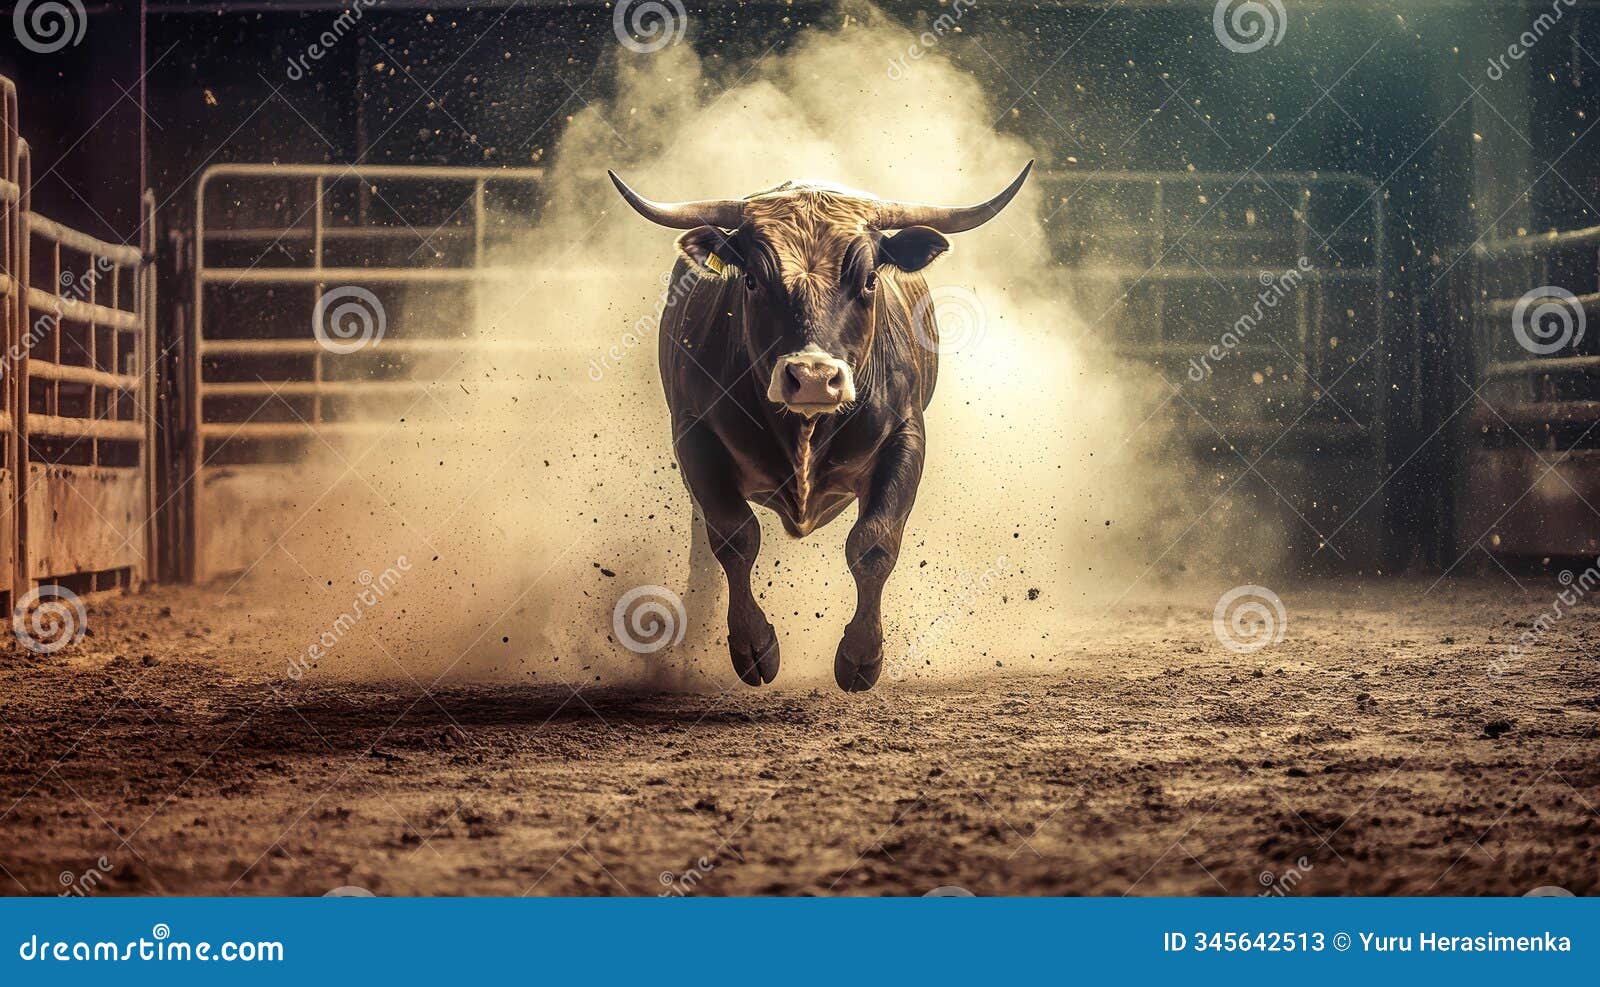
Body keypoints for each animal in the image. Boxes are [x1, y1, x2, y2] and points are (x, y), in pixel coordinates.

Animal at [610, 163, 1032, 691]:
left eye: (869, 279)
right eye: (752, 280)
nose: (812, 376)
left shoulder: (906, 440)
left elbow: (873, 542)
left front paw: (861, 655)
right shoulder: (695, 440)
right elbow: (733, 536)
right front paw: (753, 647)